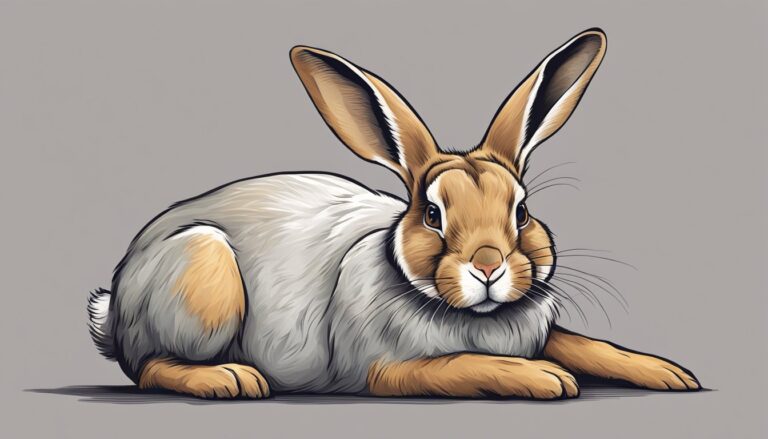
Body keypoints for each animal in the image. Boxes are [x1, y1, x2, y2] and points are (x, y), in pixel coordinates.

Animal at [88, 28, 700, 399]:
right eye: (431, 213)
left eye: (522, 211)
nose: (488, 266)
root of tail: (117, 305)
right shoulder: (382, 369)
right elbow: (456, 367)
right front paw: (543, 378)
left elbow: (583, 343)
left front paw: (669, 372)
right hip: (202, 270)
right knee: (148, 367)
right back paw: (230, 379)